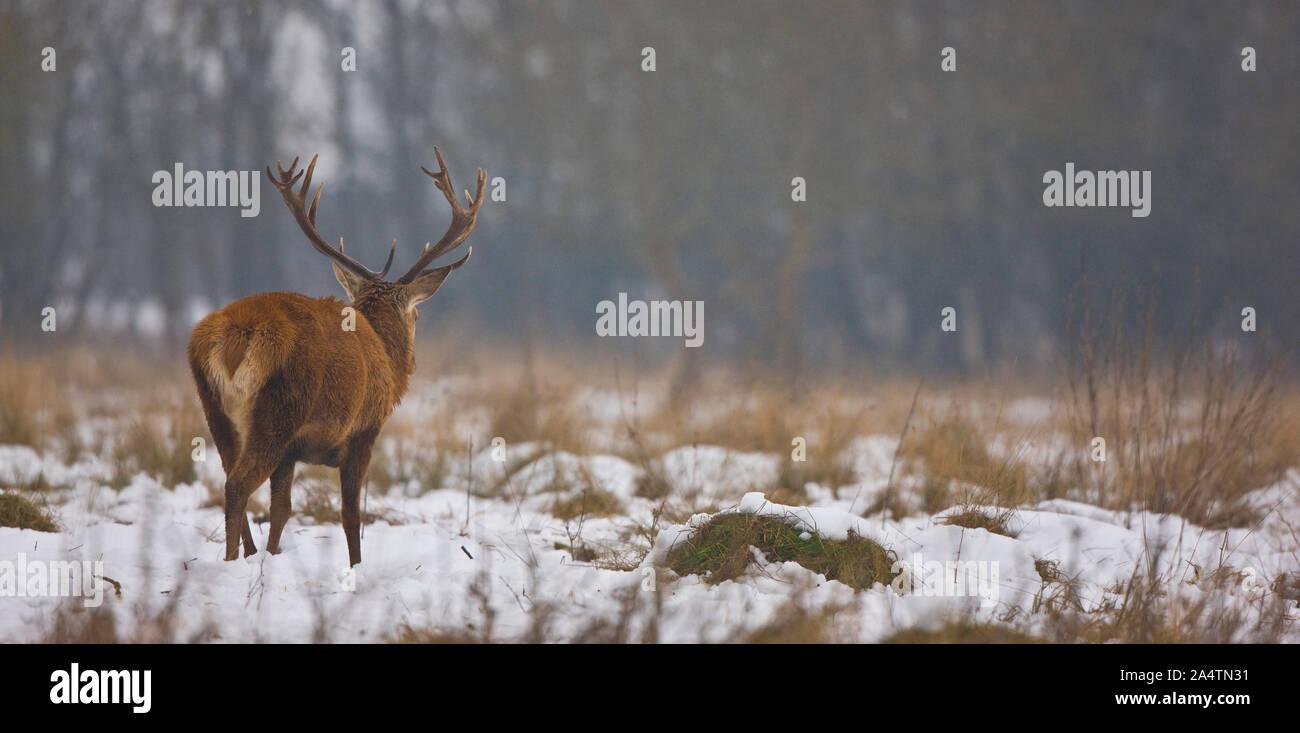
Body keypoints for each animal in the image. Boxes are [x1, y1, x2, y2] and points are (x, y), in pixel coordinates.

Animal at [188, 148, 485, 566]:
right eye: (417, 314)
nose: (413, 362)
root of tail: (237, 336)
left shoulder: (292, 454)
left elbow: (282, 509)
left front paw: (272, 555)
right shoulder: (364, 430)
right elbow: (350, 515)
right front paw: (356, 566)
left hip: (215, 410)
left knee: (230, 476)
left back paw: (246, 555)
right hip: (278, 410)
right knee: (237, 485)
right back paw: (232, 561)